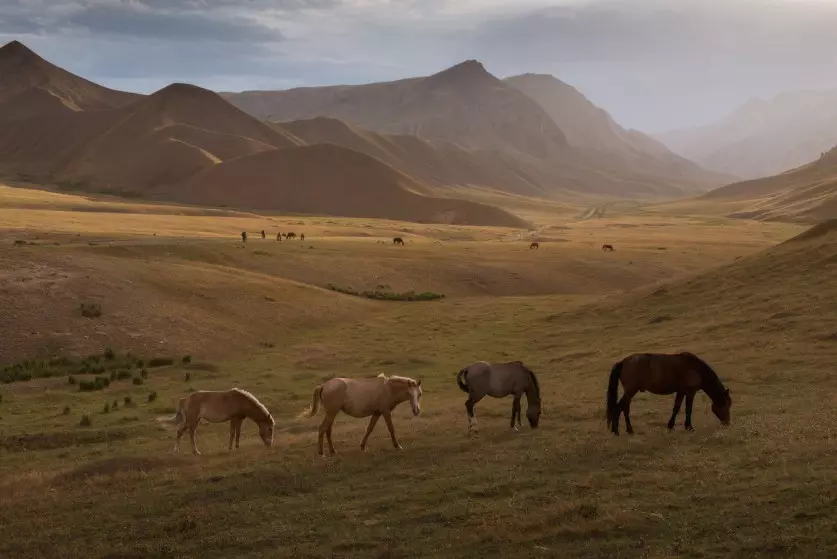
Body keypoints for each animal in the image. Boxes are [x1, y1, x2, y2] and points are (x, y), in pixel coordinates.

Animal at [600, 352, 732, 436]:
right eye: (726, 405)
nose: (727, 423)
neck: (696, 369)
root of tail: (622, 362)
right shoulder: (690, 392)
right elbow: (688, 409)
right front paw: (689, 427)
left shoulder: (681, 391)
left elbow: (676, 408)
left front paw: (671, 426)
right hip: (630, 391)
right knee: (619, 408)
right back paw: (618, 431)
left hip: (630, 392)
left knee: (624, 408)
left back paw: (627, 430)